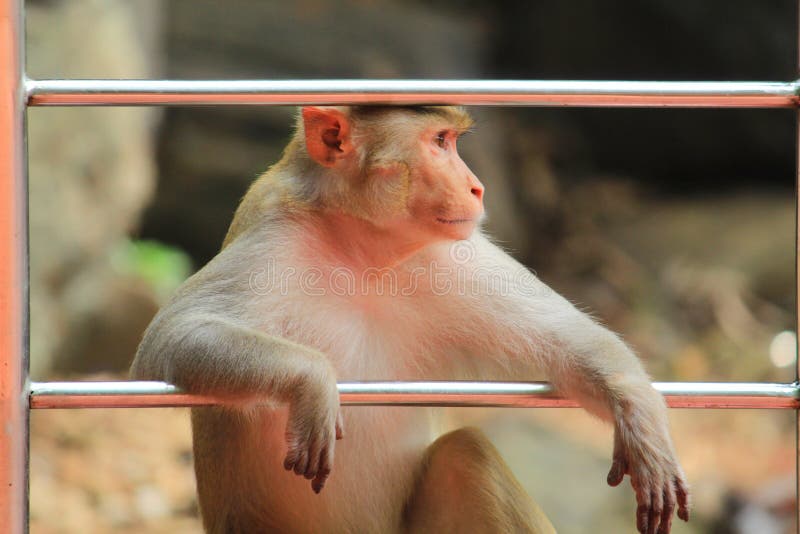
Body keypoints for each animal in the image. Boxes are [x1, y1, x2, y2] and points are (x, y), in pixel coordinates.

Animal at [131, 105, 690, 534]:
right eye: (439, 141)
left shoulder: (452, 257)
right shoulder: (273, 239)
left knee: (467, 455)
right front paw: (313, 384)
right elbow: (173, 337)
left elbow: (570, 344)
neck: (360, 254)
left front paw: (641, 424)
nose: (477, 188)